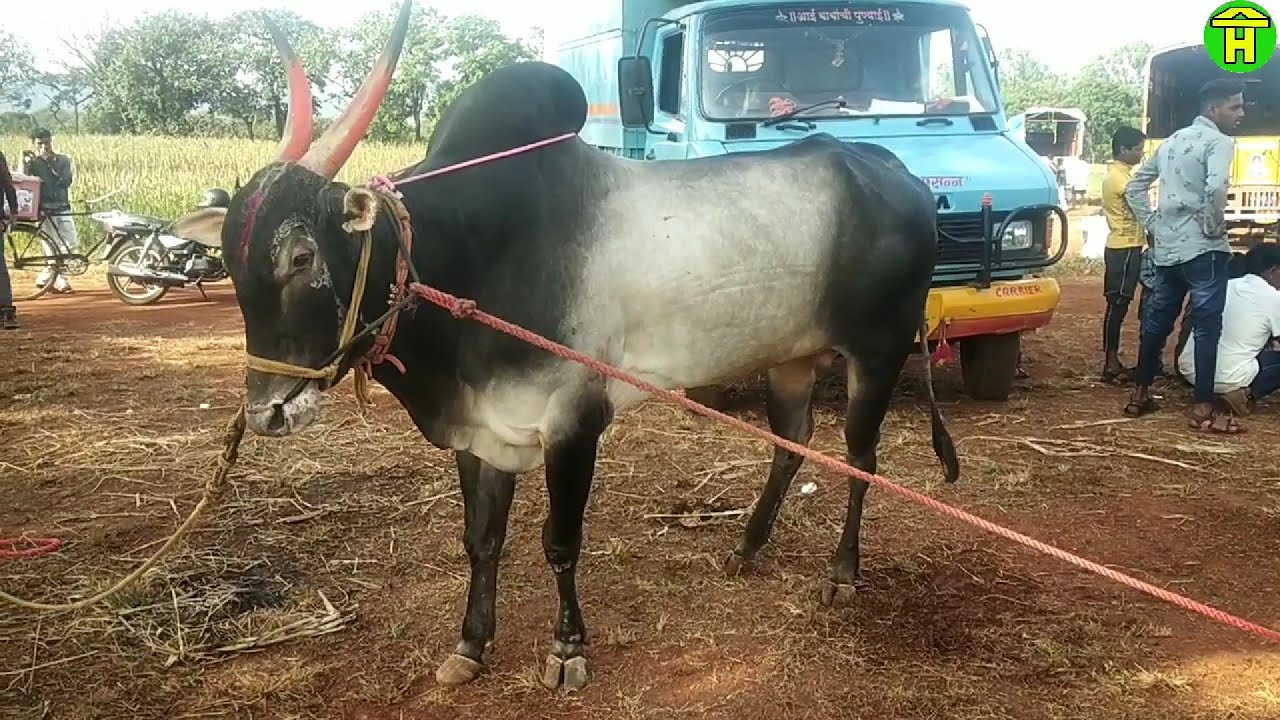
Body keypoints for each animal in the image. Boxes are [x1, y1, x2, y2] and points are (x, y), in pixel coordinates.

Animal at [172, 2, 960, 692]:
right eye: (231, 265)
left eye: (302, 258)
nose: (268, 412)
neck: (469, 261)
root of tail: (901, 177)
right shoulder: (483, 430)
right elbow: (481, 537)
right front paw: (470, 645)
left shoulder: (573, 422)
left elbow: (559, 540)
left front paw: (567, 651)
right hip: (791, 354)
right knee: (792, 443)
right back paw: (747, 546)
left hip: (877, 352)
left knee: (861, 459)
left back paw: (842, 573)